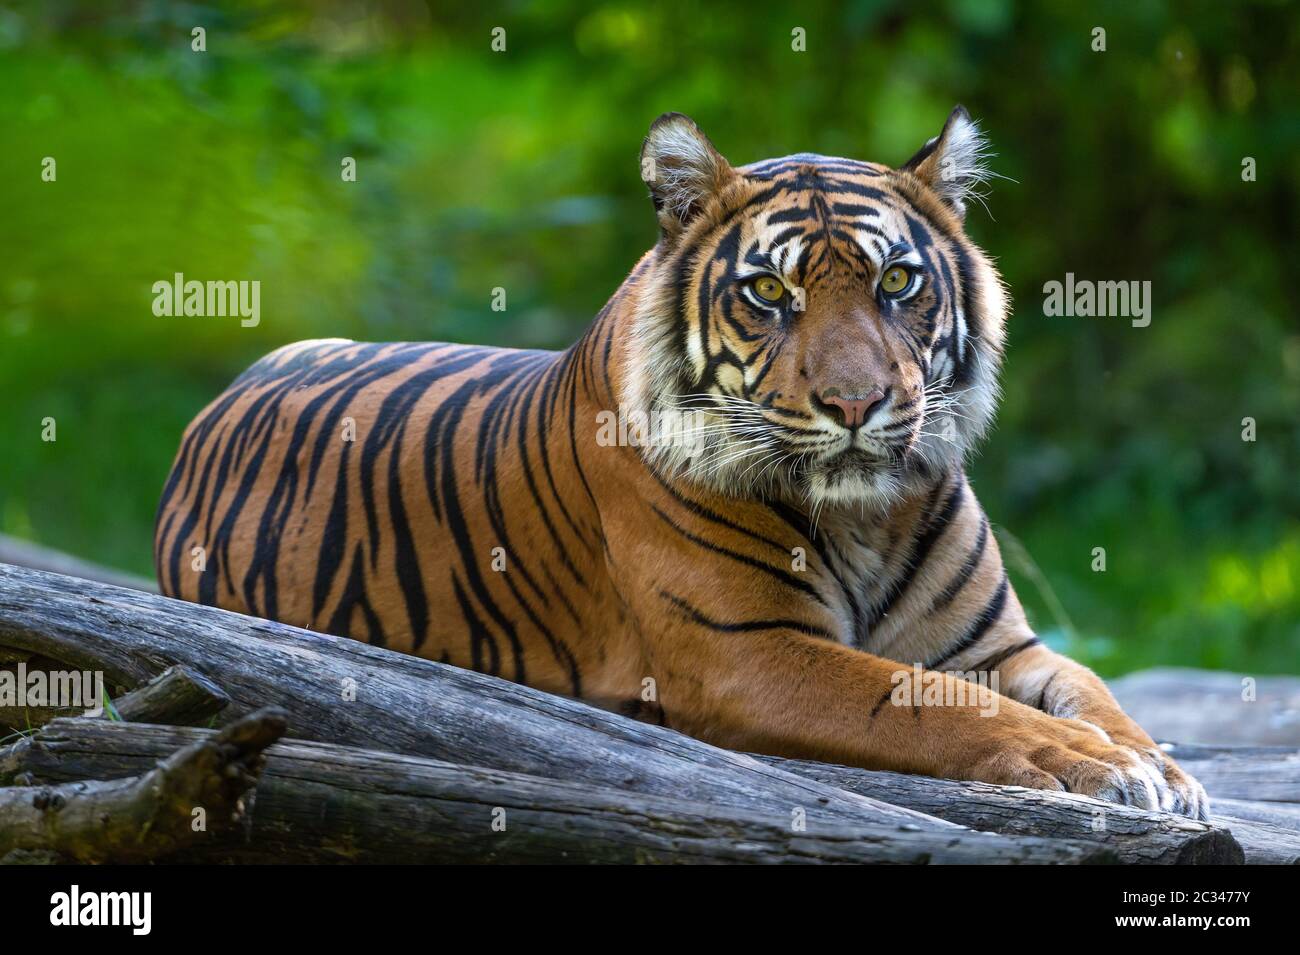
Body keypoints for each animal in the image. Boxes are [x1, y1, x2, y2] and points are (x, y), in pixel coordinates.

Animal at [155, 107, 1207, 818]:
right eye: (770, 291)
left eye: (899, 281)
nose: (856, 404)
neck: (868, 512)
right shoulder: (751, 654)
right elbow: (935, 702)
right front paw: (1092, 763)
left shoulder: (998, 648)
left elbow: (1093, 690)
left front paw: (1157, 765)